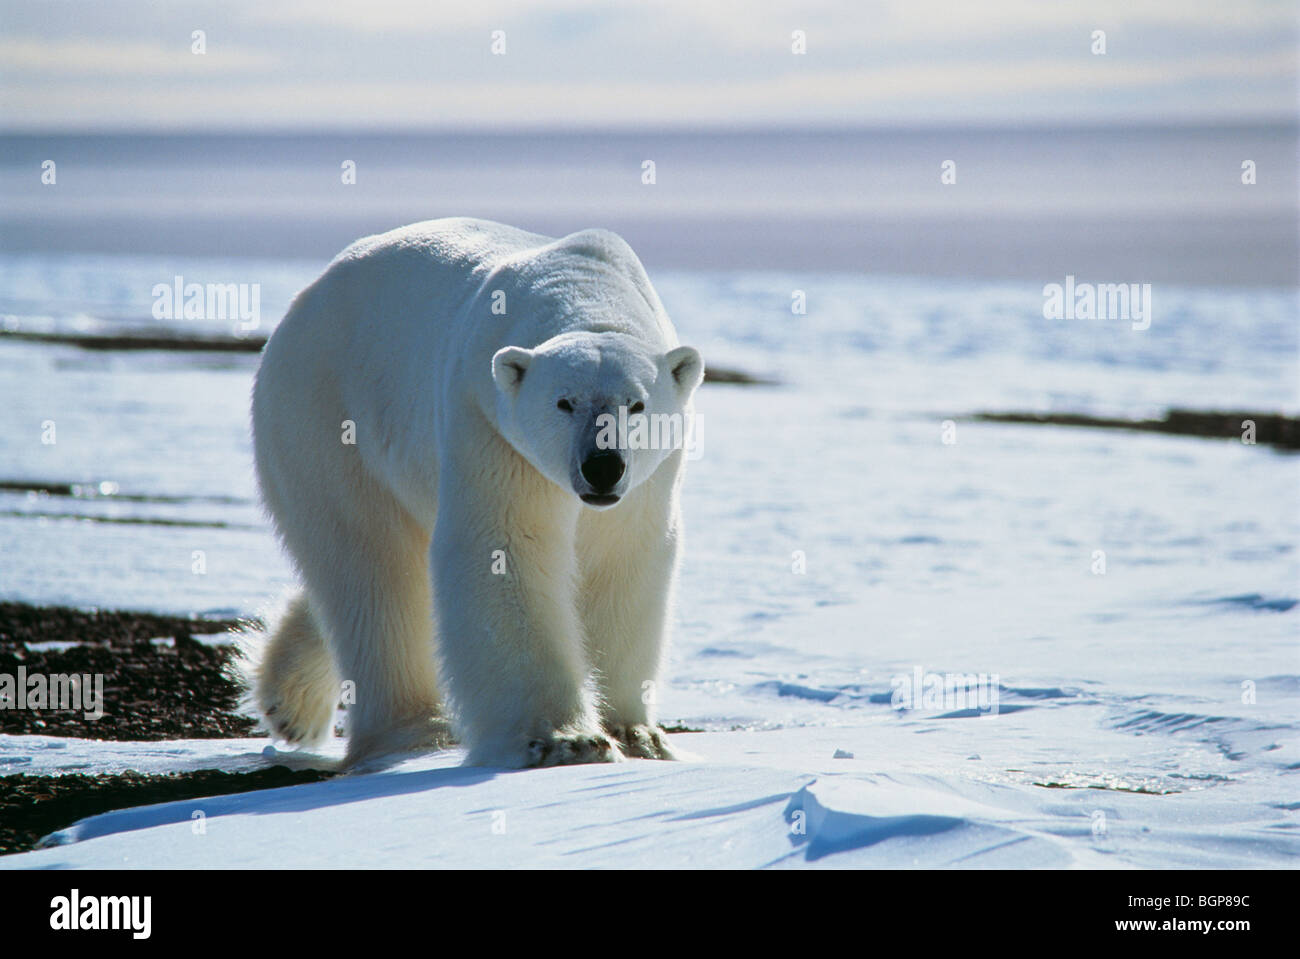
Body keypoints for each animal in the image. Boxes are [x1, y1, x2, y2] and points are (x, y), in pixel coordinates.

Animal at [244, 217, 703, 770]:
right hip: (326, 414)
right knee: (370, 567)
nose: (603, 466)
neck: (585, 287)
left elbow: (622, 557)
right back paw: (414, 730)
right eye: (564, 402)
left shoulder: (648, 479)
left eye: (636, 405)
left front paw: (636, 733)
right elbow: (504, 549)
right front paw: (564, 740)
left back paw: (289, 699)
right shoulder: (487, 421)